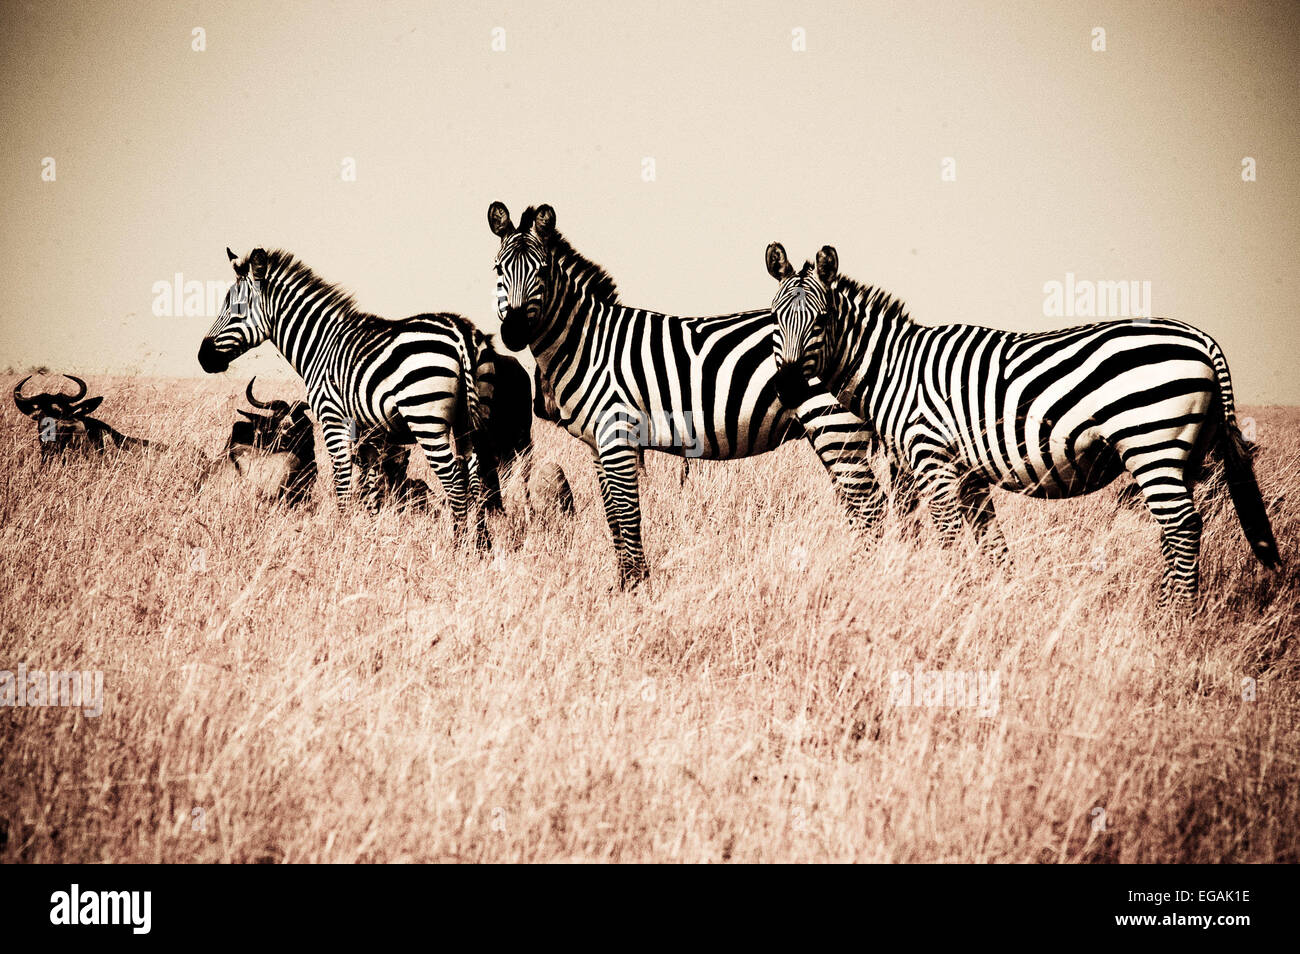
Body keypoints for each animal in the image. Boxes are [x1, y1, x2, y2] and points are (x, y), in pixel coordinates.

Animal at [198, 247, 492, 548]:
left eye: (236, 308)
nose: (202, 357)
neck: (320, 345)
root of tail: (460, 333)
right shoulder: (372, 433)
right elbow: (372, 487)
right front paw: (370, 536)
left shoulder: (332, 419)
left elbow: (342, 478)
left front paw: (339, 532)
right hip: (467, 421)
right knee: (475, 478)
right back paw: (481, 545)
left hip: (426, 419)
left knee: (454, 479)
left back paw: (458, 544)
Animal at [486, 202, 893, 587]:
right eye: (497, 269)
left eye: (541, 271)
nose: (514, 333)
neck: (587, 343)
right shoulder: (596, 445)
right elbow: (613, 518)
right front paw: (623, 585)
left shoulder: (617, 433)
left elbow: (627, 515)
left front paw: (638, 588)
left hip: (834, 424)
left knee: (869, 505)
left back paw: (865, 577)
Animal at [764, 242, 1281, 605]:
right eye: (774, 319)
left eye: (821, 320)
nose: (787, 389)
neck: (894, 367)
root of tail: (1202, 338)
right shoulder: (967, 469)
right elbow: (990, 541)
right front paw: (996, 598)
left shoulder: (932, 455)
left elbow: (948, 535)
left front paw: (949, 596)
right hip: (1186, 454)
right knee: (1178, 528)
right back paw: (1170, 602)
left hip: (1151, 442)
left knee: (1182, 525)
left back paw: (1175, 616)